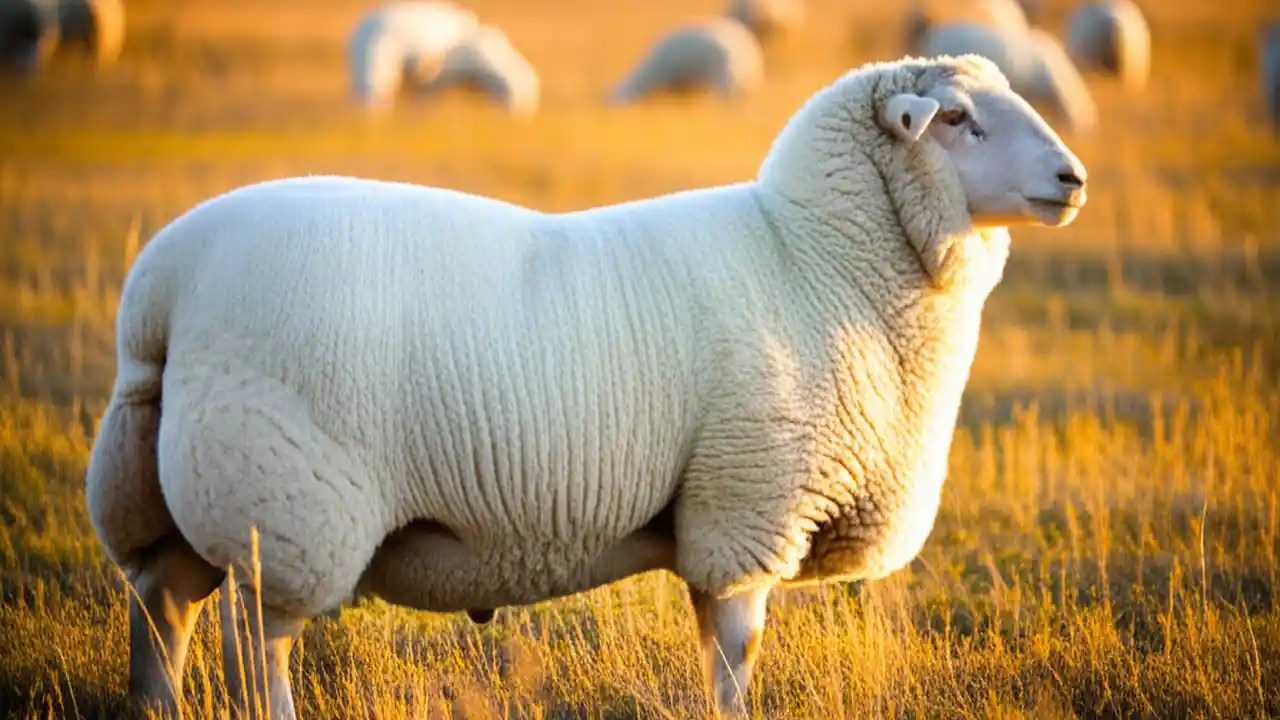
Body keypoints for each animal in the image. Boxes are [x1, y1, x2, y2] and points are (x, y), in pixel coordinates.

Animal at [86, 55, 1088, 718]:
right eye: (956, 119)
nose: (1073, 177)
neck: (814, 258)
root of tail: (163, 291)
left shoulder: (713, 516)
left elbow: (712, 650)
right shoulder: (746, 510)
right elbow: (736, 656)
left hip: (181, 497)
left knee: (161, 610)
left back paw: (156, 707)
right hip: (286, 506)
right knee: (257, 647)